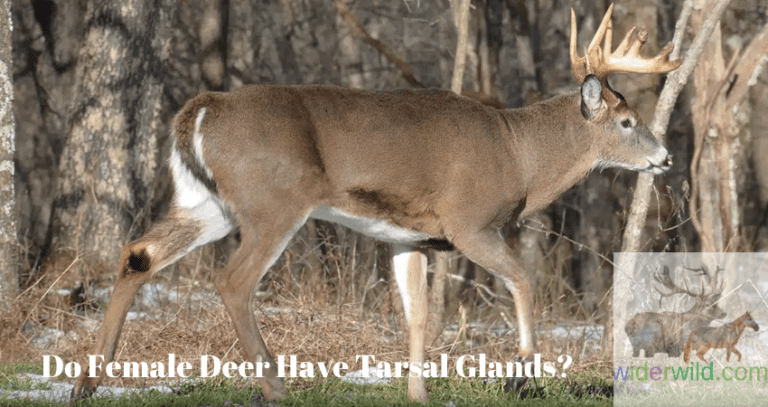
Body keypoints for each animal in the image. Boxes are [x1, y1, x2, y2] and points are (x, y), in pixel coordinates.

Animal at [71, 4, 681, 403]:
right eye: (628, 122)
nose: (667, 157)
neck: (519, 155)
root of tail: (198, 110)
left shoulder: (408, 238)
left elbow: (416, 317)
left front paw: (417, 394)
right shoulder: (469, 223)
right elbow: (523, 280)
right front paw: (521, 374)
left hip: (206, 203)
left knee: (138, 254)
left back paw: (86, 382)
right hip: (274, 201)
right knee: (233, 280)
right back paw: (274, 387)